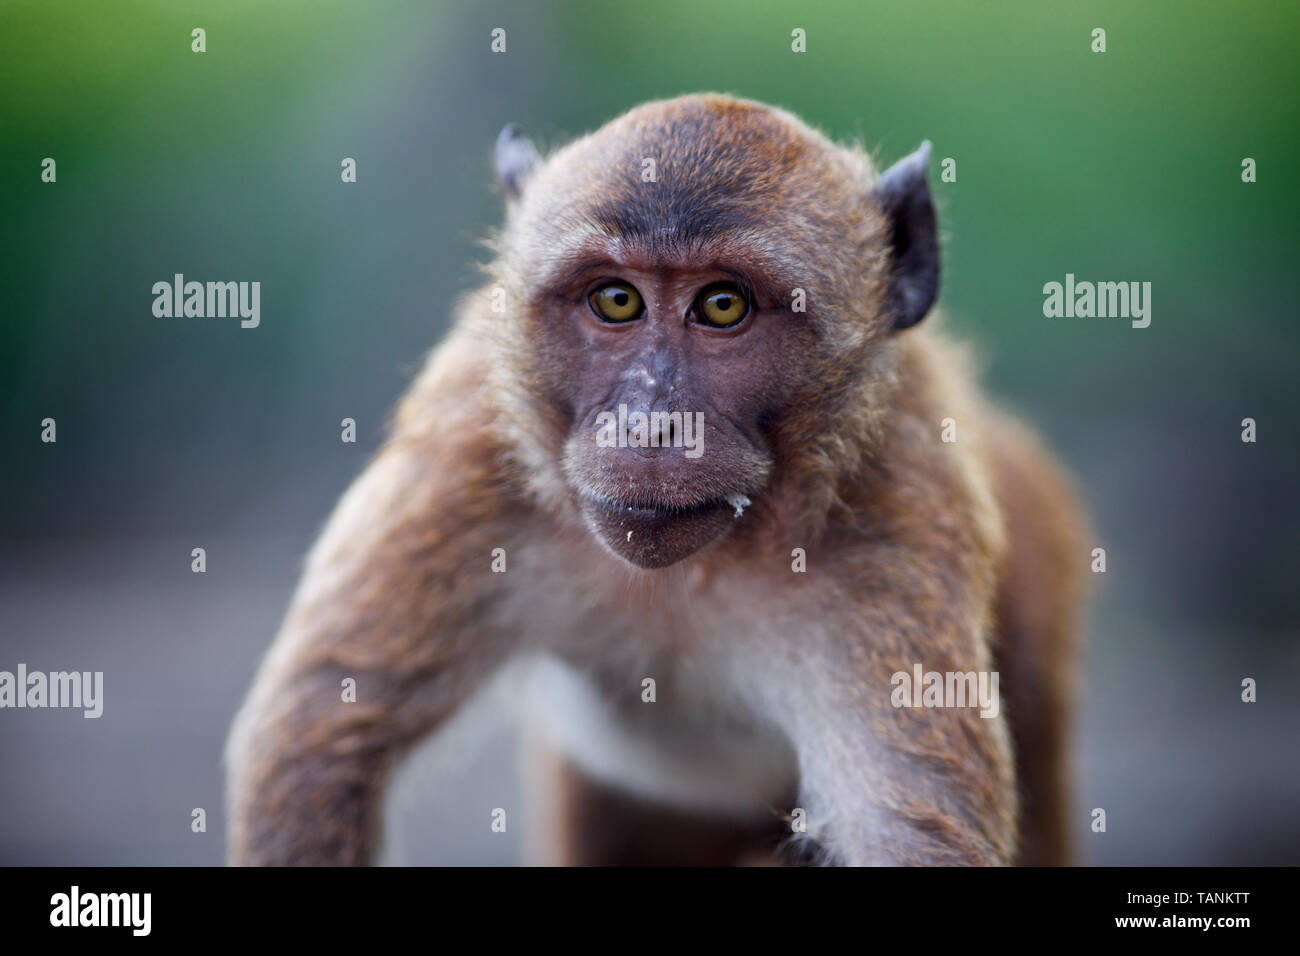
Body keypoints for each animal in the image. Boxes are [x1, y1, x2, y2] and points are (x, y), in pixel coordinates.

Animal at [225, 93, 1087, 867]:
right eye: (616, 299)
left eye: (723, 305)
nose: (649, 426)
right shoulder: (467, 443)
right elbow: (323, 734)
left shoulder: (894, 508)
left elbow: (906, 827)